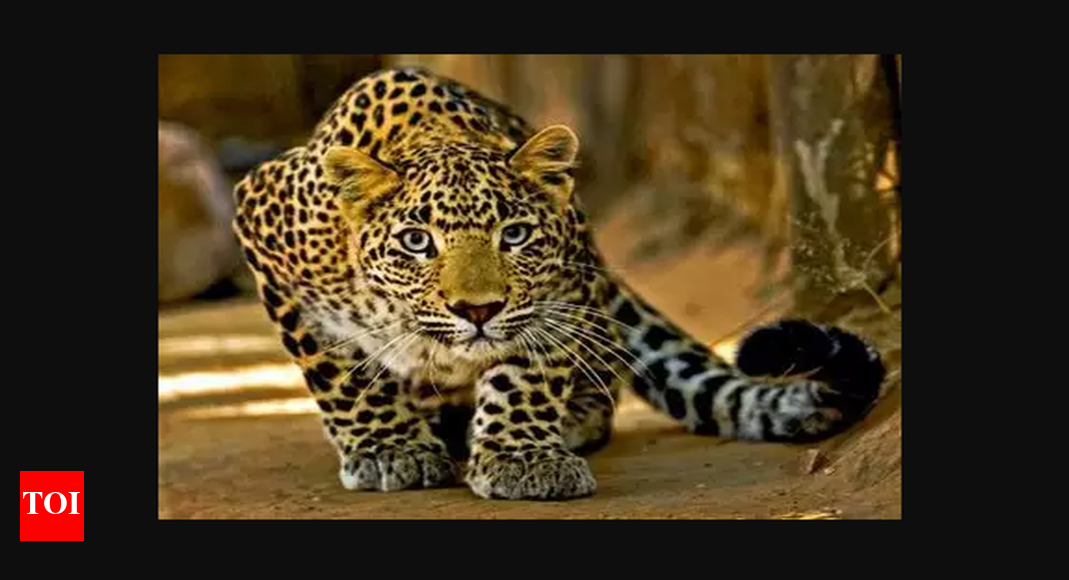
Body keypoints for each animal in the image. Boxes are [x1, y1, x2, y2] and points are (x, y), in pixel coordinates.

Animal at [231, 66, 887, 501]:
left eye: (515, 235)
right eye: (417, 242)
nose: (477, 310)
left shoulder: (560, 292)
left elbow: (526, 373)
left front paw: (521, 457)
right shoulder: (259, 221)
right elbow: (340, 372)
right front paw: (388, 449)